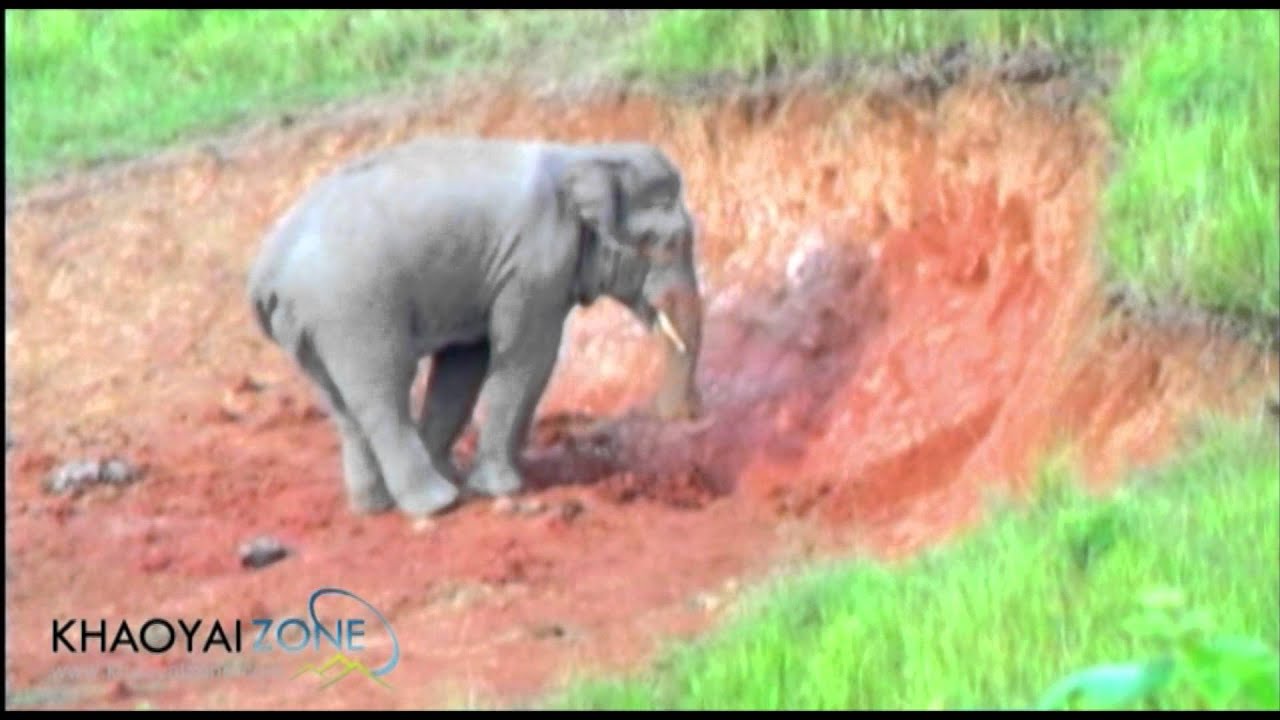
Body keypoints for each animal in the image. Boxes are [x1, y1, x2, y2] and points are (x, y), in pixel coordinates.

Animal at [246, 137, 704, 518]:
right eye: (669, 242)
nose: (682, 416)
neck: (585, 155)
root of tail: (265, 273)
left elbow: (464, 363)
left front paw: (459, 474)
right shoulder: (534, 267)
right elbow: (526, 357)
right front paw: (499, 488)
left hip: (307, 327)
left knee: (342, 404)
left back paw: (375, 508)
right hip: (350, 310)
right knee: (383, 391)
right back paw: (436, 504)